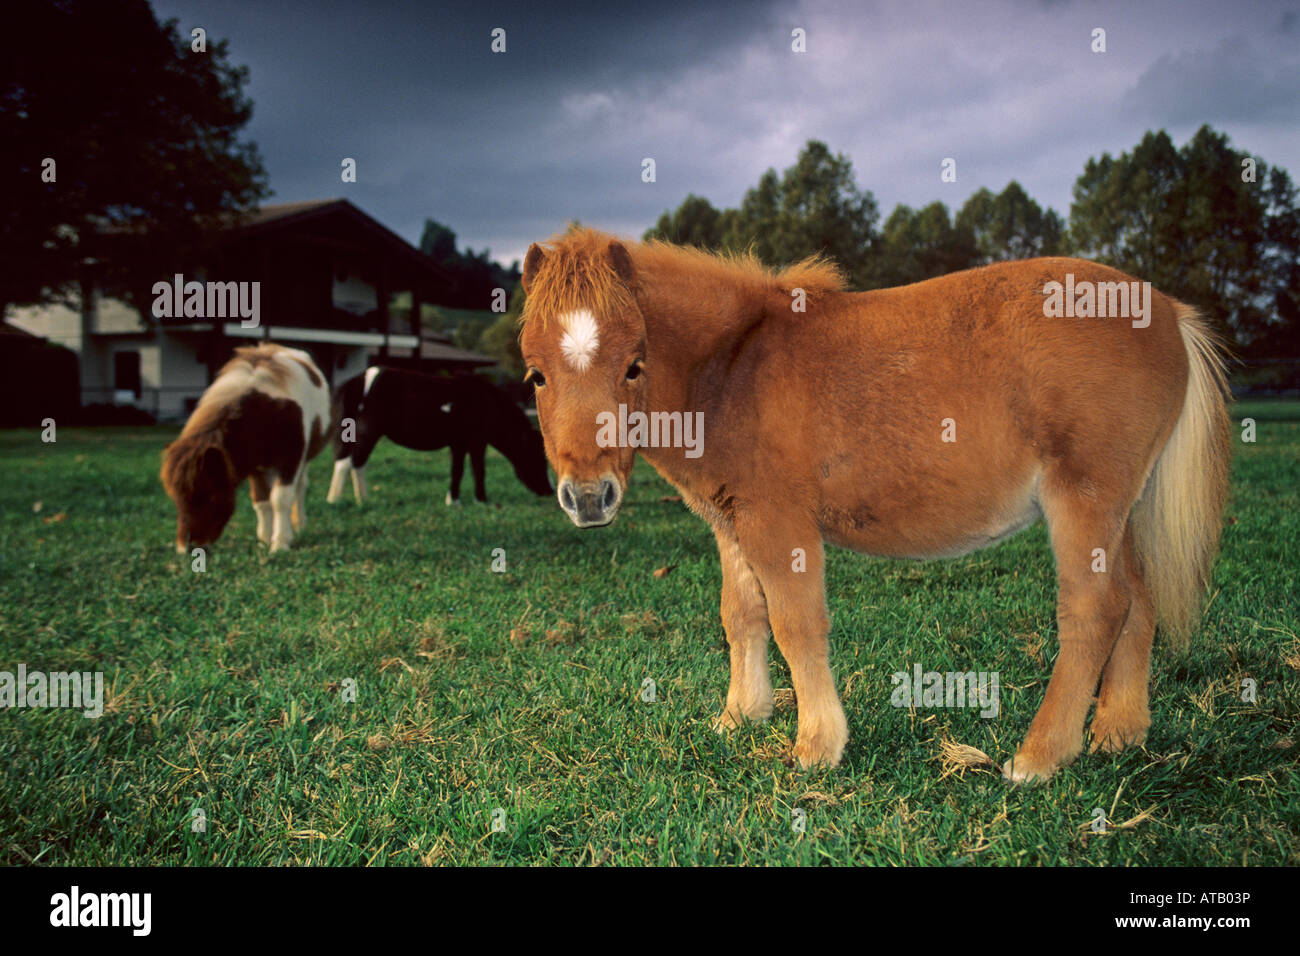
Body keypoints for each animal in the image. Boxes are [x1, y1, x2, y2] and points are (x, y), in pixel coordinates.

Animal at [160, 343, 331, 553]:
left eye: (210, 496)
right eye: (177, 500)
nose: (187, 548)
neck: (267, 411)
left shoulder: (291, 461)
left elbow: (281, 499)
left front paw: (280, 543)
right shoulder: (255, 468)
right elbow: (262, 500)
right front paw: (266, 538)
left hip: (304, 460)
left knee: (300, 487)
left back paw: (299, 524)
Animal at [326, 366, 553, 506]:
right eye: (537, 458)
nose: (549, 491)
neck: (485, 402)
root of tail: (360, 379)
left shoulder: (459, 444)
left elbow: (458, 470)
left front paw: (453, 500)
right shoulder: (476, 442)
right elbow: (477, 470)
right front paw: (479, 500)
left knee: (353, 462)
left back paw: (359, 499)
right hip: (367, 433)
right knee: (349, 462)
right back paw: (341, 500)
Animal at [517, 227, 1231, 784]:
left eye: (633, 365)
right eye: (536, 375)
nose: (588, 498)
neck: (734, 367)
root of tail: (1167, 309)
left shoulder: (779, 525)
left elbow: (796, 624)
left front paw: (816, 746)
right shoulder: (731, 524)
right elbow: (742, 616)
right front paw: (739, 718)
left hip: (1083, 500)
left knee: (1095, 610)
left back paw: (1039, 757)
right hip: (1123, 510)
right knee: (1137, 600)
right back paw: (1118, 734)